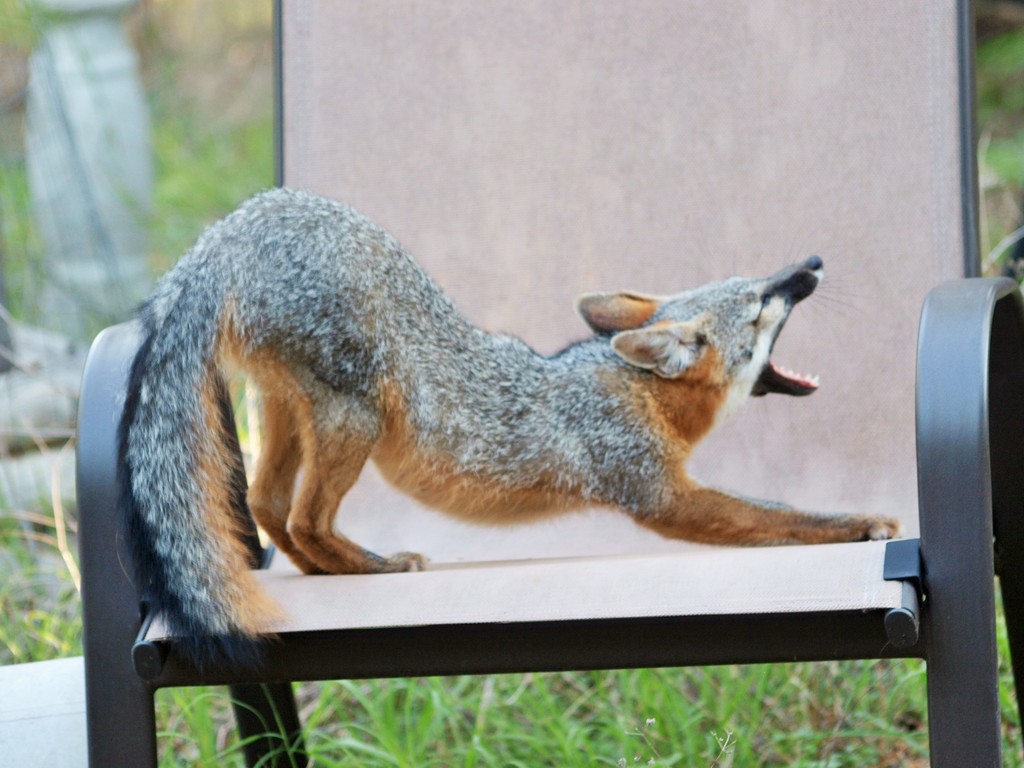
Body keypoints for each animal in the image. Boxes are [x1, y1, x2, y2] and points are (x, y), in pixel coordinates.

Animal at [119, 187, 901, 666]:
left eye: (762, 284)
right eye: (763, 304)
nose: (812, 263)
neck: (632, 387)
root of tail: (228, 232)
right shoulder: (660, 494)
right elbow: (781, 514)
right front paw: (858, 522)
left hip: (286, 414)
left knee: (269, 507)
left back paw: (329, 572)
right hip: (353, 421)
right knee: (306, 517)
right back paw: (373, 567)